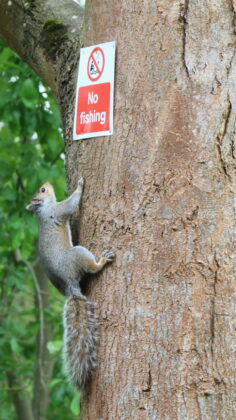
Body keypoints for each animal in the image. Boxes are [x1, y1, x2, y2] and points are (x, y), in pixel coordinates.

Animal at [26, 176, 114, 388]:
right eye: (42, 190)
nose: (47, 183)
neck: (44, 210)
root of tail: (69, 285)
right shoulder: (59, 209)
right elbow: (72, 203)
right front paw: (80, 185)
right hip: (78, 253)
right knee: (91, 267)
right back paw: (102, 261)